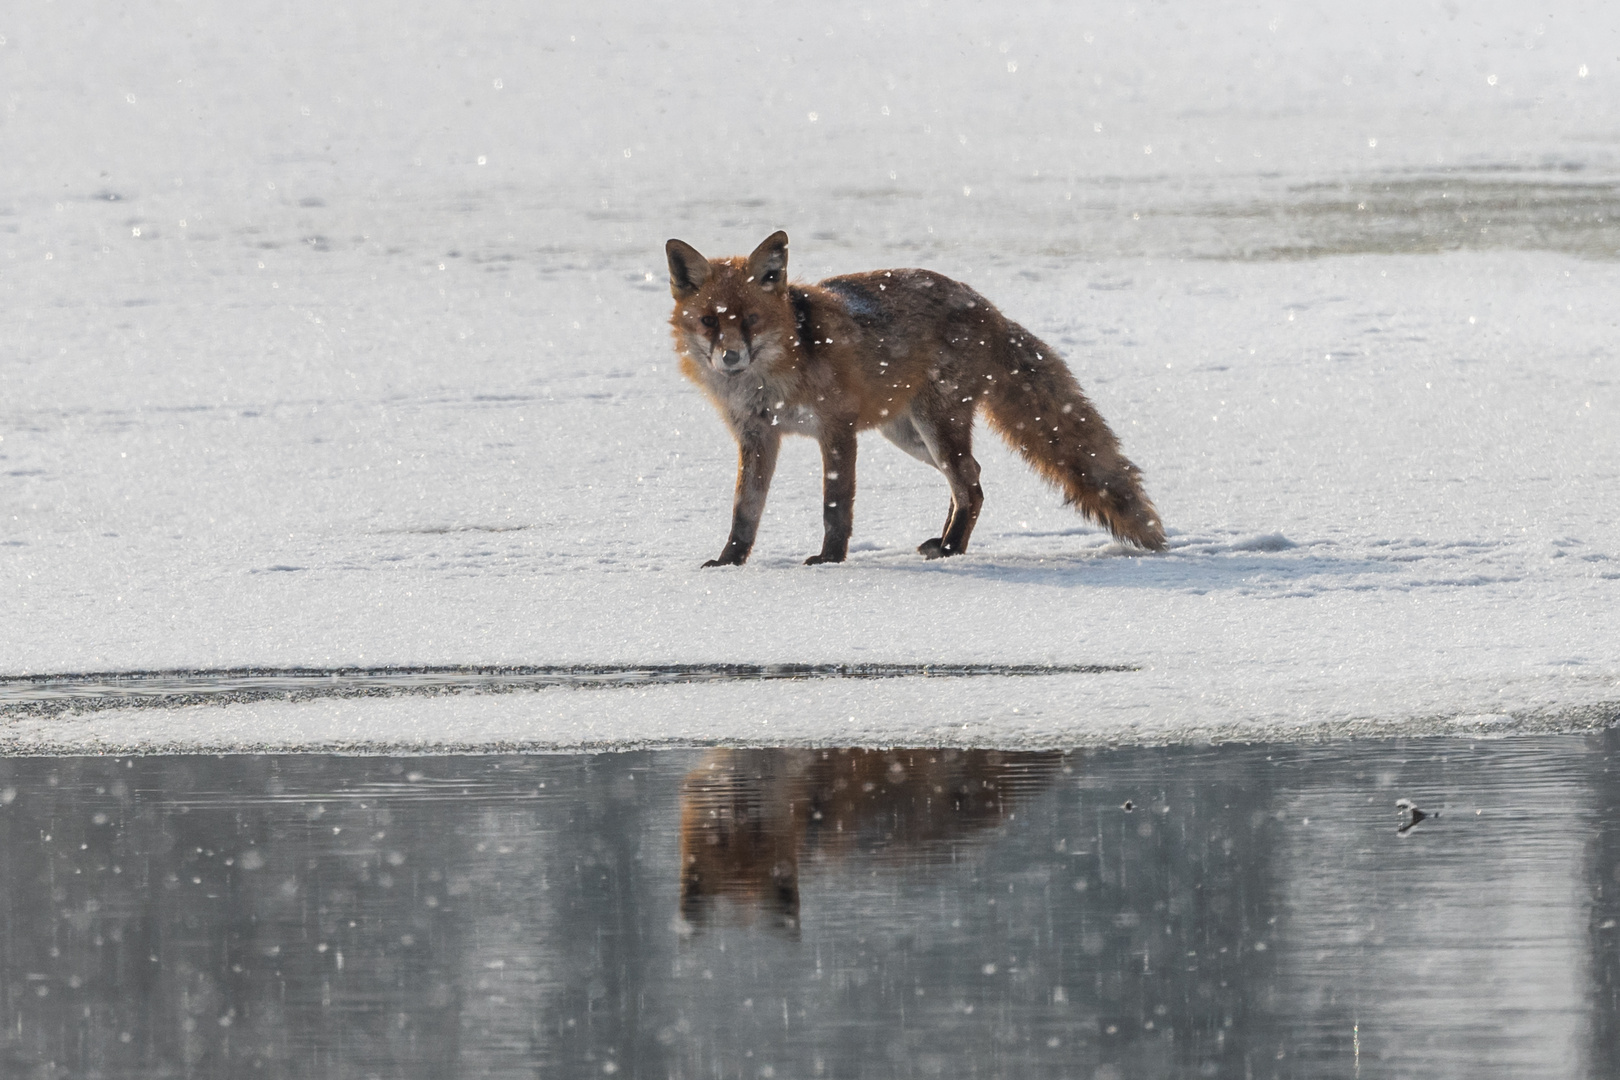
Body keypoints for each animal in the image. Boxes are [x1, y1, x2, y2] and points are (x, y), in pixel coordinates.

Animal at [667, 228, 1166, 566]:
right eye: (710, 321)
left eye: (751, 320)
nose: (730, 358)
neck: (773, 379)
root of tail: (986, 306)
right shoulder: (757, 437)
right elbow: (744, 510)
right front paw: (730, 562)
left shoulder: (837, 430)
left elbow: (835, 507)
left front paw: (830, 560)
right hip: (909, 436)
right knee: (972, 478)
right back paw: (945, 542)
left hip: (934, 427)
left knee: (968, 483)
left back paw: (951, 549)